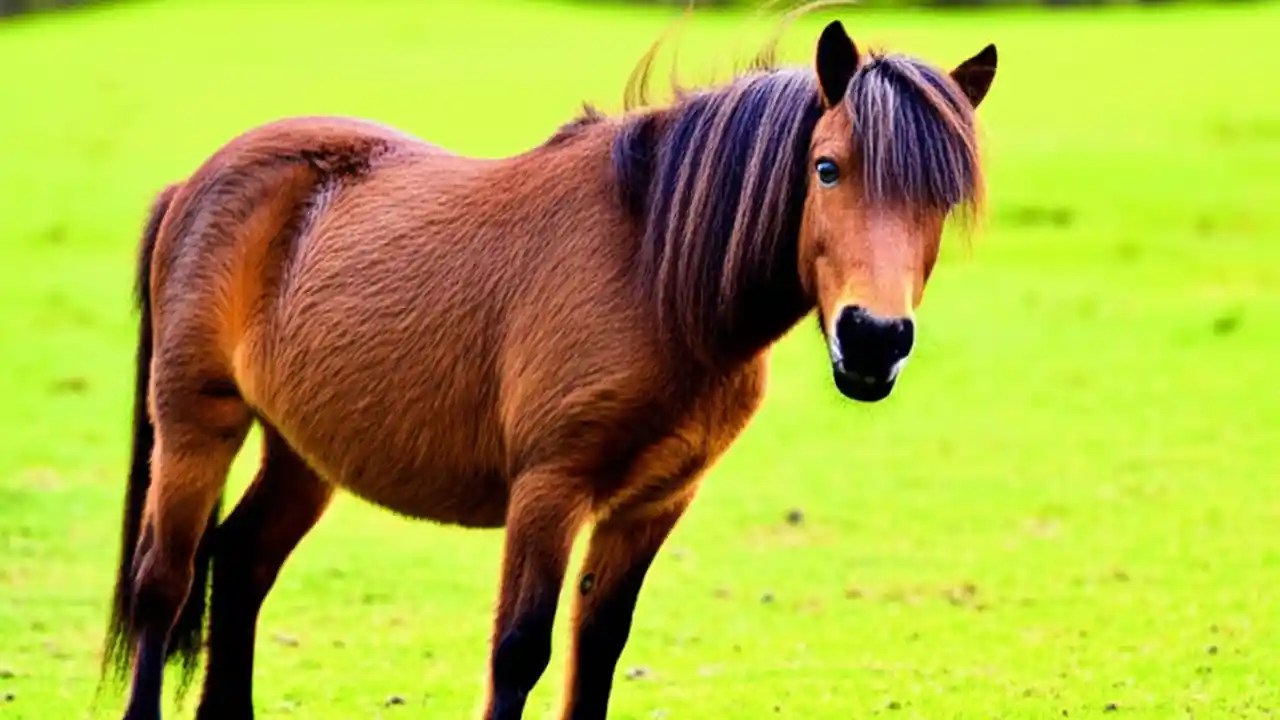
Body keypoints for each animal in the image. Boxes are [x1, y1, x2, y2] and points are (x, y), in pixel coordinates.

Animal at [101, 18, 996, 720]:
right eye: (827, 168)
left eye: (942, 199)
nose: (874, 339)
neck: (652, 277)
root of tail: (196, 183)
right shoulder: (550, 489)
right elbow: (520, 651)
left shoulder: (651, 503)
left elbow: (596, 651)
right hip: (197, 425)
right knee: (163, 585)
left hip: (303, 452)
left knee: (239, 565)